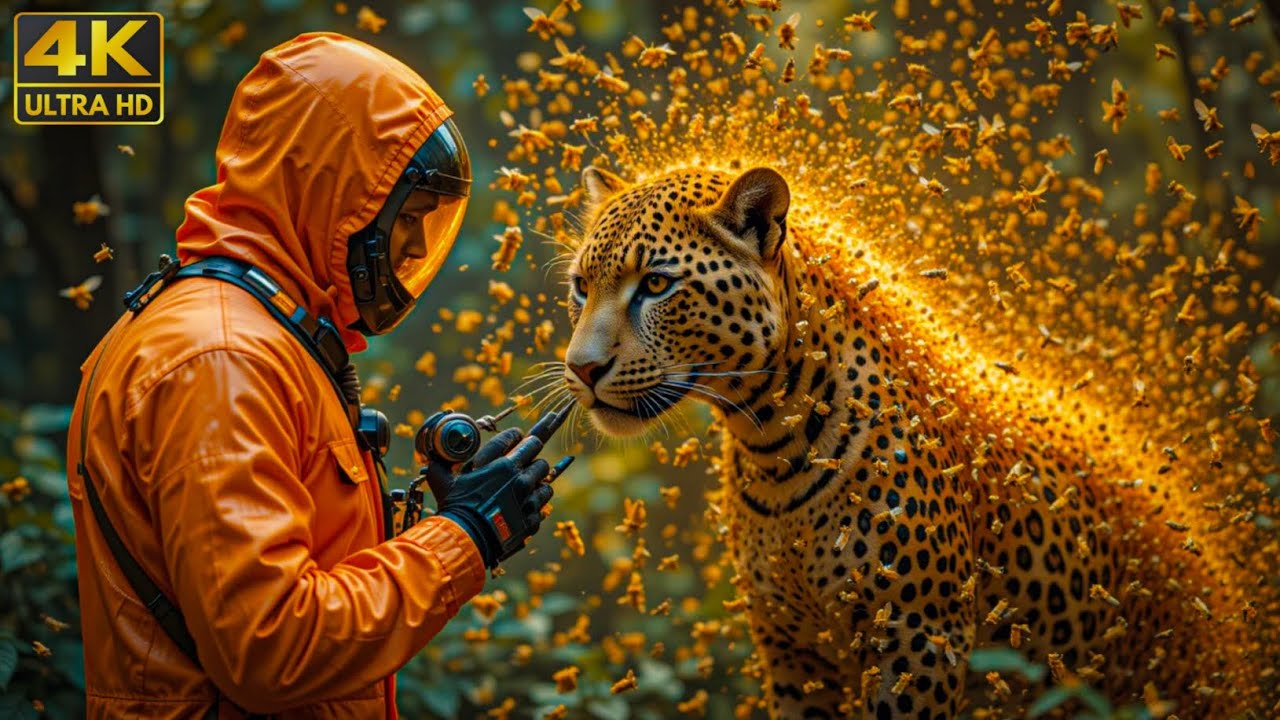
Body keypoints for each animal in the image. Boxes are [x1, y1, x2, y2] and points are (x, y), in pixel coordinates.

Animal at [558, 164, 1276, 719]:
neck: (772, 442)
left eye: (656, 285)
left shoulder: (919, 640)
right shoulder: (792, 650)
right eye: (580, 288)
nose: (581, 369)